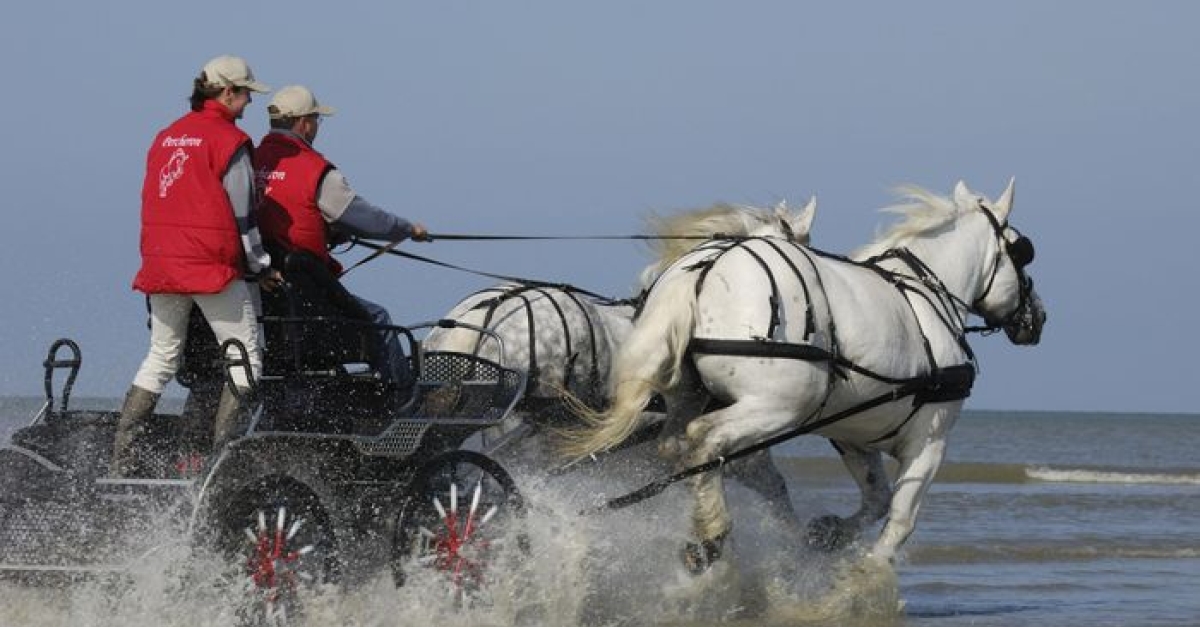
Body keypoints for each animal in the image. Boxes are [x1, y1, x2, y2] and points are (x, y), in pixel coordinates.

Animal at [563, 180, 1045, 573]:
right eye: (1022, 251)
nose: (1037, 318)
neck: (925, 293)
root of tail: (706, 265)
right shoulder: (930, 439)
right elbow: (899, 521)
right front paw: (867, 577)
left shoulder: (853, 434)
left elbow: (876, 499)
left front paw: (828, 533)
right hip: (779, 407)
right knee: (705, 440)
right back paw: (713, 534)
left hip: (696, 397)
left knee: (677, 446)